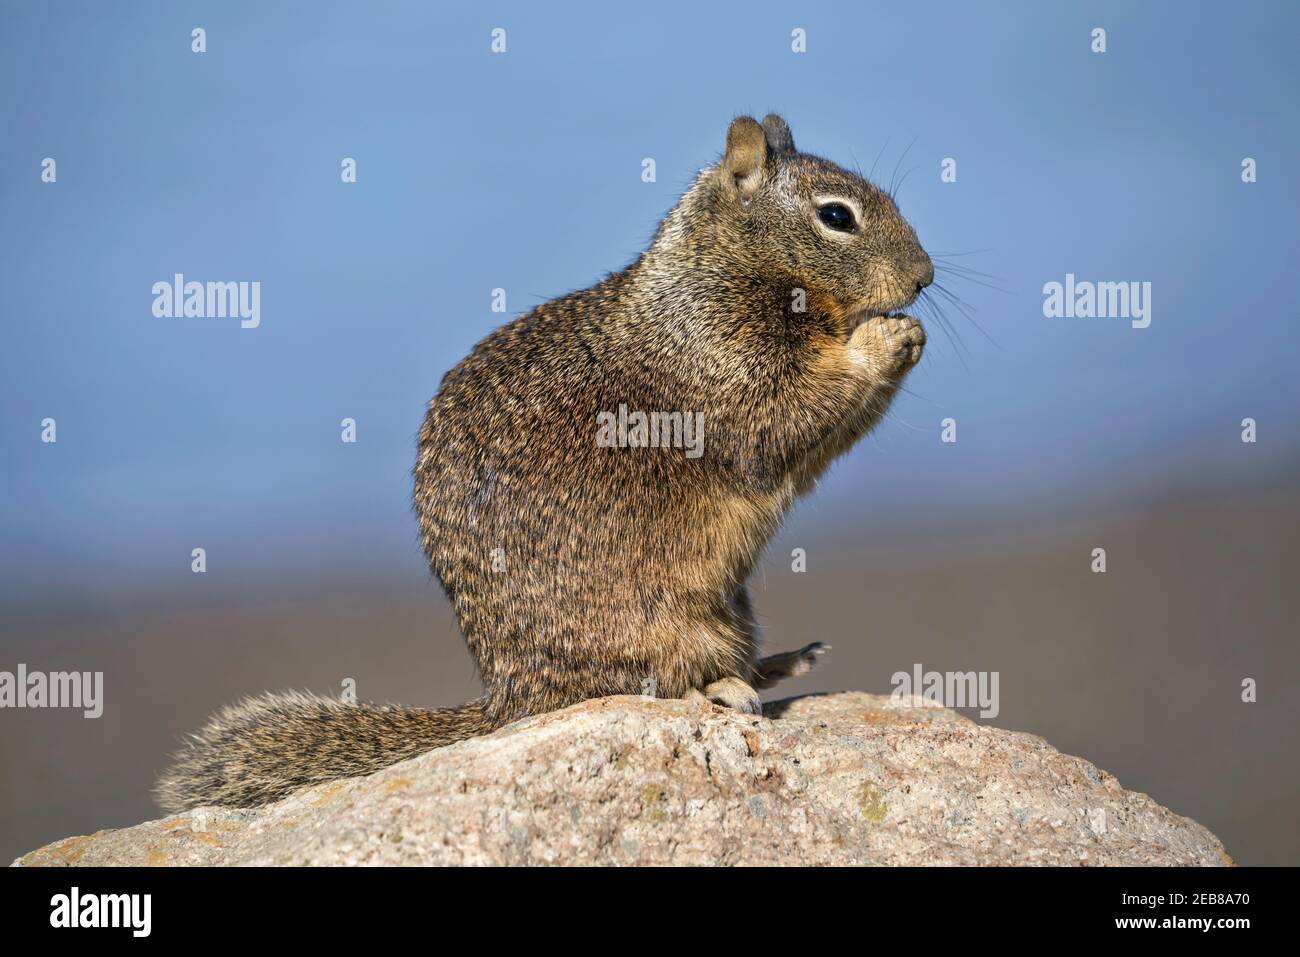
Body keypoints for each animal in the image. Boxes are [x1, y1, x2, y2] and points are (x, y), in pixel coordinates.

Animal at [156, 114, 933, 812]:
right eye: (836, 216)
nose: (925, 277)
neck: (723, 269)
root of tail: (508, 699)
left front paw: (908, 333)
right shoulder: (726, 363)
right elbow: (794, 411)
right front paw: (885, 338)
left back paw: (780, 662)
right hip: (663, 627)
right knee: (649, 684)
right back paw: (724, 686)